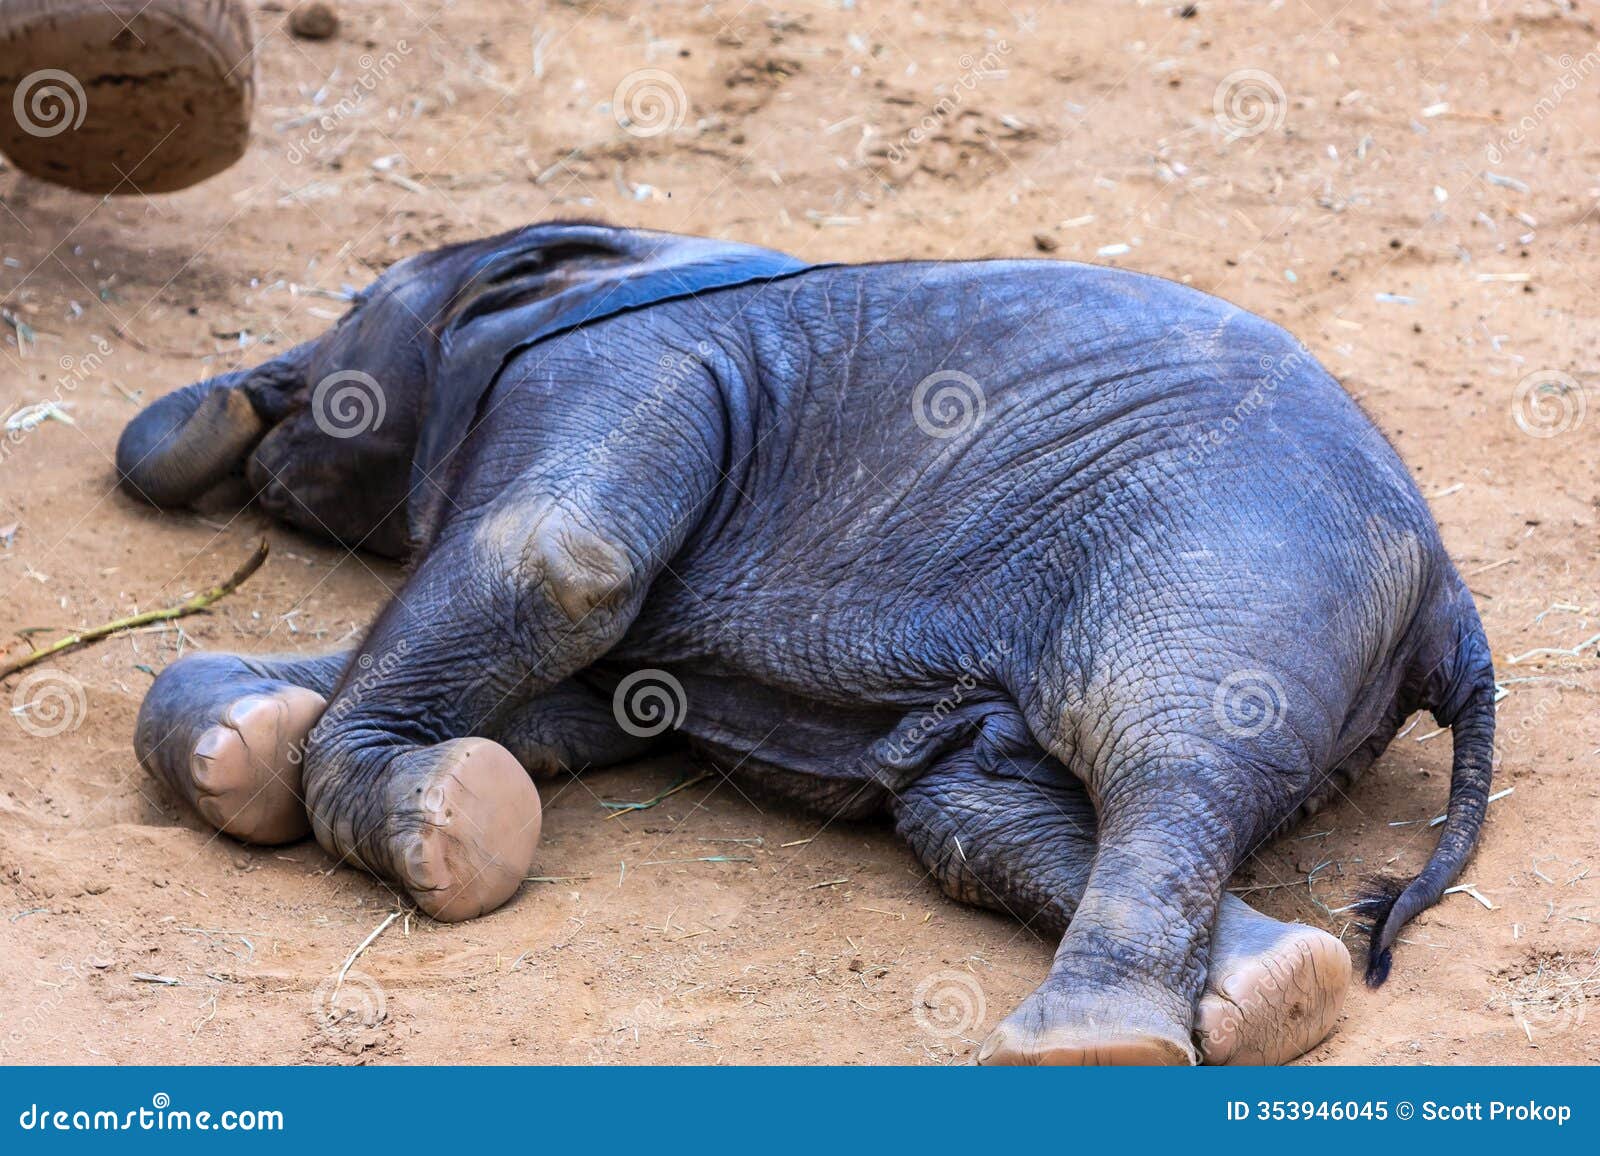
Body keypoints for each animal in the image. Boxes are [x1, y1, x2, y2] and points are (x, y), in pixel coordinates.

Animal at [116, 222, 1496, 1066]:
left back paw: (1085, 1047)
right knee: (974, 810)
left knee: (1173, 756)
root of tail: (1450, 605)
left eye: (354, 305)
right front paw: (244, 743)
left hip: (1232, 553)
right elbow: (580, 697)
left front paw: (438, 820)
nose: (233, 402)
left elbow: (557, 565)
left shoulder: (627, 365)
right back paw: (1274, 987)